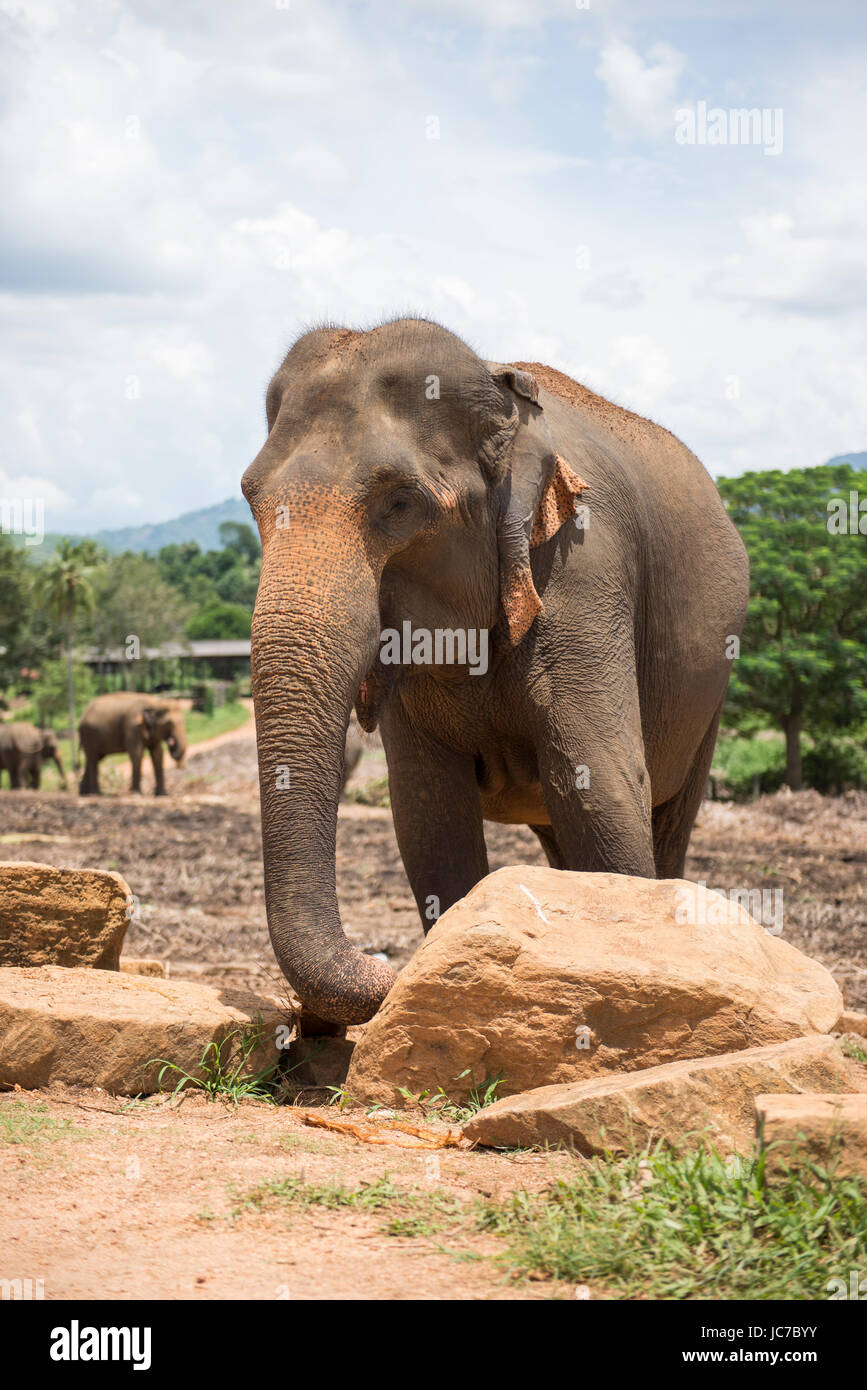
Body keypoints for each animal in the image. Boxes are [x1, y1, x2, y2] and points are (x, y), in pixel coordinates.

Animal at [241, 317, 750, 1026]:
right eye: (250, 498)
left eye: (401, 503)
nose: (384, 966)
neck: (502, 395)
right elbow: (429, 813)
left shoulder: (584, 565)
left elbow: (602, 788)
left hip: (714, 684)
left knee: (667, 816)